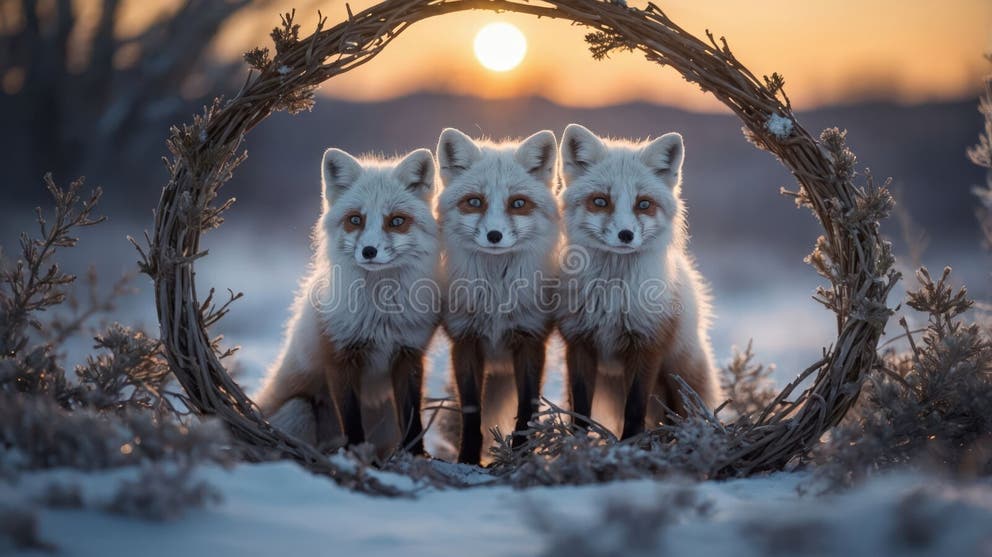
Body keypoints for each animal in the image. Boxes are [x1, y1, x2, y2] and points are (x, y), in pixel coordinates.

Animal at [254, 146, 441, 457]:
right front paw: (355, 453)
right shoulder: (340, 354)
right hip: (299, 409)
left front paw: (416, 455)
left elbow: (412, 417)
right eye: (355, 220)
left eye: (396, 221)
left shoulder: (409, 354)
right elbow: (351, 420)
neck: (381, 312)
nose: (369, 251)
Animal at [436, 127, 561, 465]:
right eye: (474, 202)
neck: (496, 295)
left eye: (517, 203)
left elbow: (527, 410)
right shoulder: (465, 341)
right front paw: (467, 458)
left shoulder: (531, 340)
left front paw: (520, 455)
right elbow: (471, 413)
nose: (494, 235)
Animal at [556, 123, 721, 439]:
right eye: (600, 201)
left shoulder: (647, 343)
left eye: (643, 204)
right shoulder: (579, 342)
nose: (626, 235)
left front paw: (630, 443)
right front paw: (578, 443)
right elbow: (580, 409)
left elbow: (635, 408)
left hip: (677, 376)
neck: (612, 292)